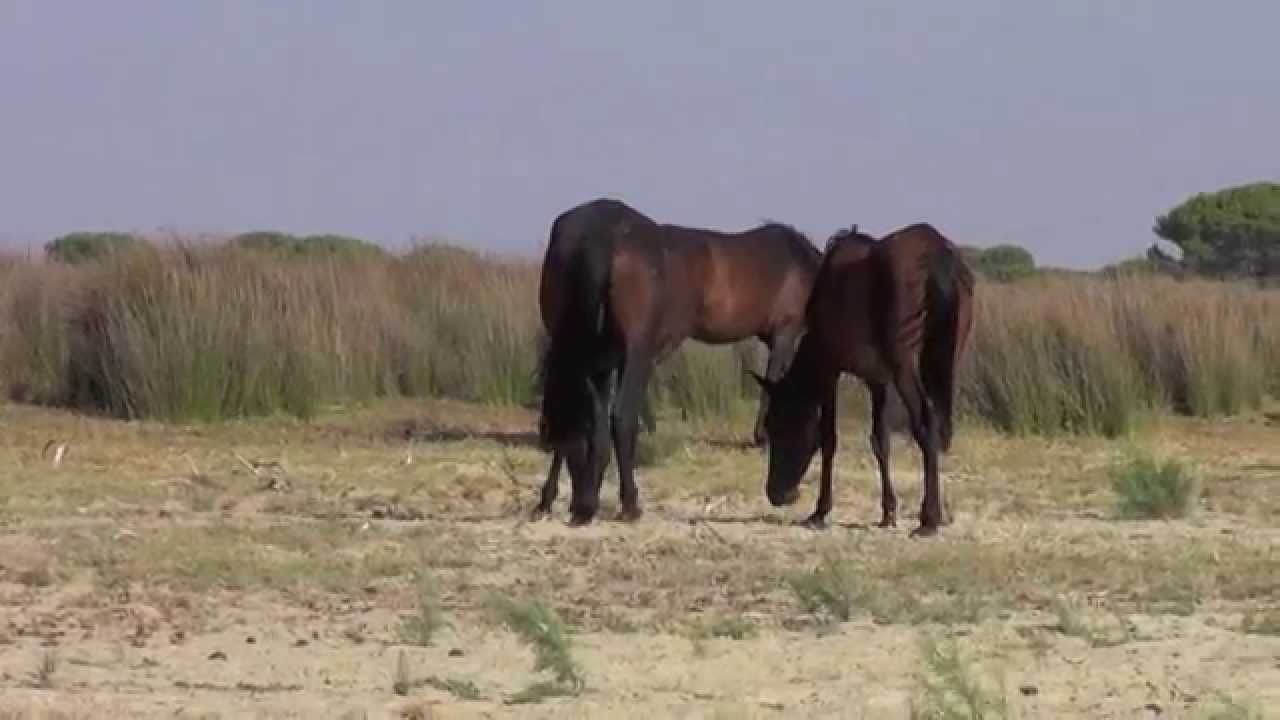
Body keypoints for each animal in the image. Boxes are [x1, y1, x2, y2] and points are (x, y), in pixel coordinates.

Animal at [535, 196, 821, 525]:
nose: (786, 494)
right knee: (621, 417)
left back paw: (558, 500)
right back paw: (628, 503)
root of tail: (600, 232)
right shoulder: (785, 334)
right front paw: (762, 436)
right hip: (635, 353)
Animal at [754, 222, 975, 537]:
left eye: (779, 426)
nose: (777, 494)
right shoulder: (878, 380)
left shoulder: (830, 370)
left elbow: (829, 438)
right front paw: (888, 511)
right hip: (946, 361)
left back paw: (929, 518)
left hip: (905, 366)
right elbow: (880, 441)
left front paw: (820, 511)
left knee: (925, 425)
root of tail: (937, 254)